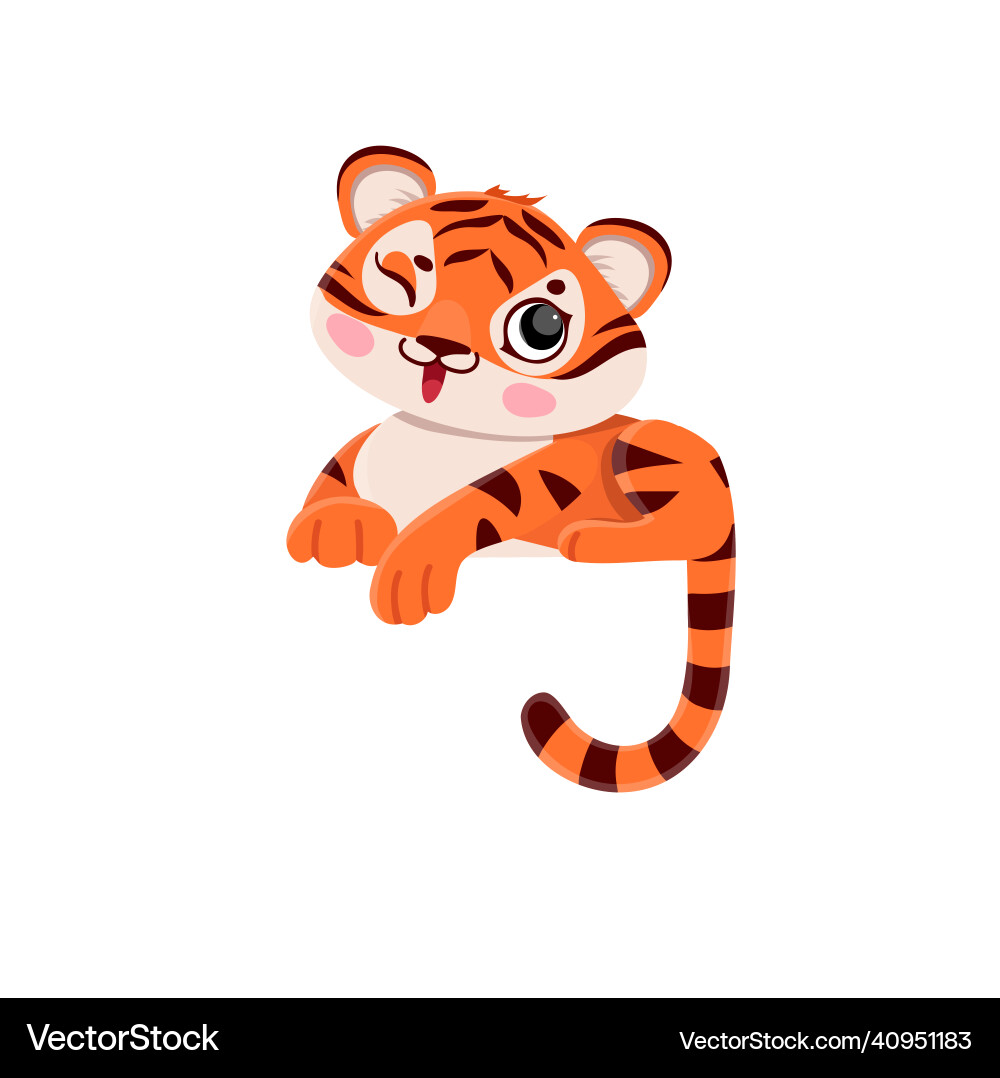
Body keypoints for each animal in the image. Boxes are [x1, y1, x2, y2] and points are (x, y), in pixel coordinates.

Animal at [287, 146, 735, 792]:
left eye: (541, 326)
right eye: (401, 276)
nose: (442, 347)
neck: (442, 434)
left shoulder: (551, 472)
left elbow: (479, 501)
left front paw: (410, 573)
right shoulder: (366, 448)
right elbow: (332, 473)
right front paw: (335, 527)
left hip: (650, 444)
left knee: (694, 526)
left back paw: (590, 539)